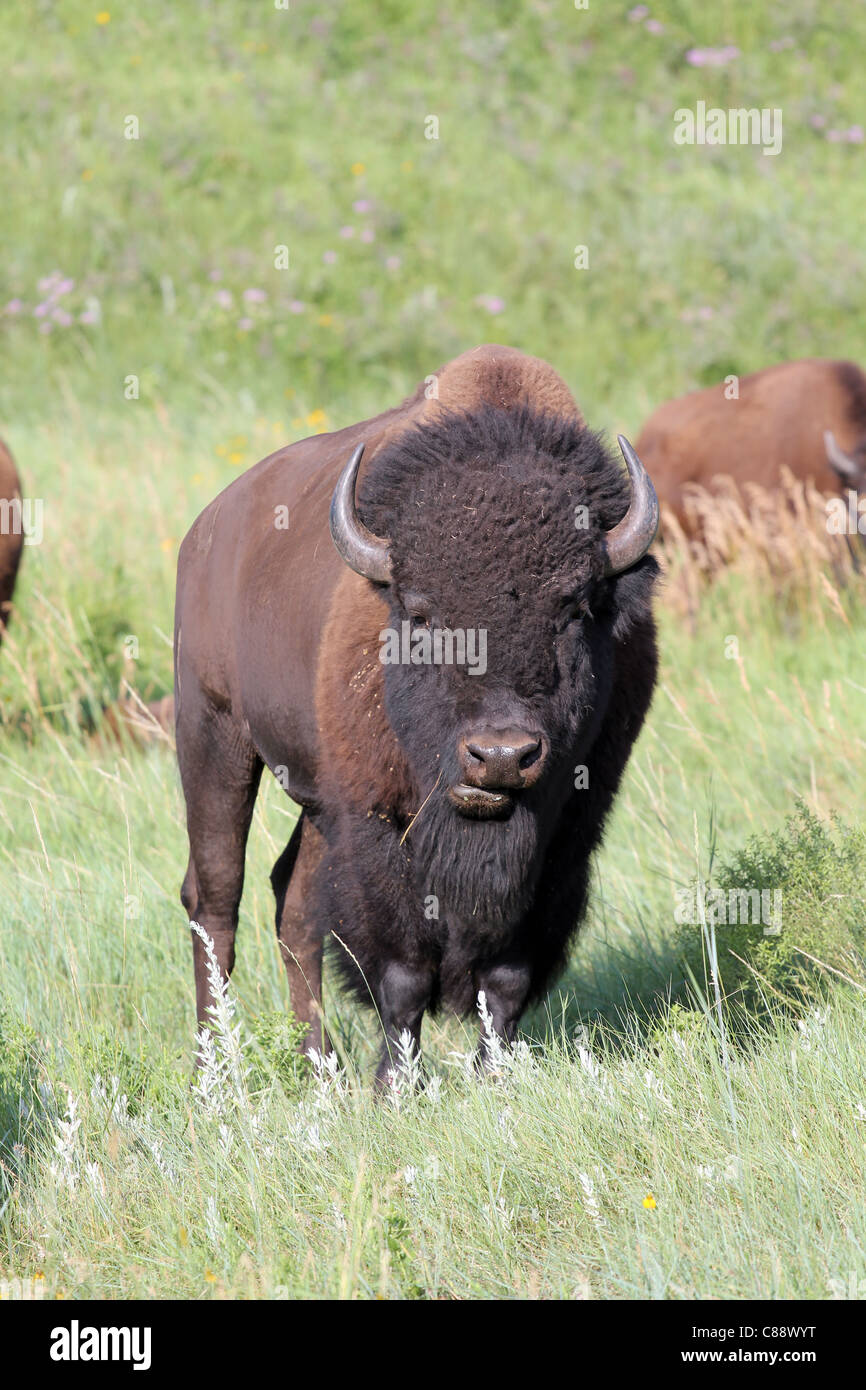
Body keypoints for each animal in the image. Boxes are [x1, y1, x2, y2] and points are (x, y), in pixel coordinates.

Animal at [174, 345, 660, 1082]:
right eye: (423, 614)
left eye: (575, 609)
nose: (500, 756)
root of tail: (206, 531)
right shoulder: (375, 823)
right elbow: (400, 972)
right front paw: (393, 1086)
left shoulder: (569, 833)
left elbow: (508, 976)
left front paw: (492, 1078)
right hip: (214, 738)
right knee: (215, 898)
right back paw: (216, 1072)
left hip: (317, 801)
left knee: (293, 904)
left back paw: (321, 1068)